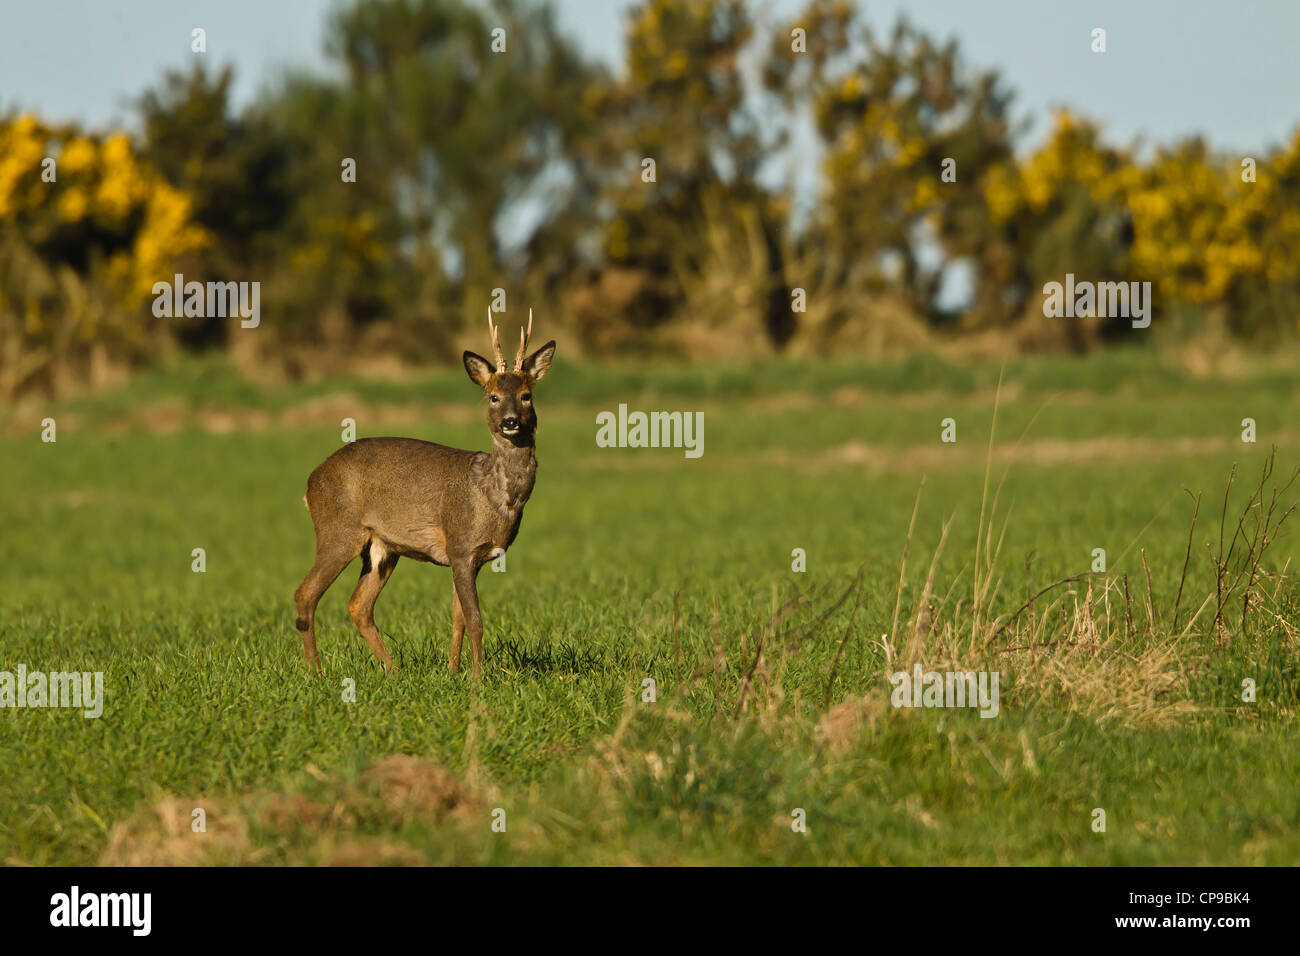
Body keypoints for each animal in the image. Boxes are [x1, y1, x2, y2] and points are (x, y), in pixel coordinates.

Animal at [293, 310, 555, 678]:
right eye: (493, 395)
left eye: (526, 394)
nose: (510, 422)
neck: (495, 495)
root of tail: (310, 481)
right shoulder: (461, 546)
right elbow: (475, 620)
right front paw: (477, 677)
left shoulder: (472, 558)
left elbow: (458, 618)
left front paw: (453, 671)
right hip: (338, 531)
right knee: (305, 594)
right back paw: (317, 673)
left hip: (382, 547)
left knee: (358, 604)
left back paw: (393, 670)